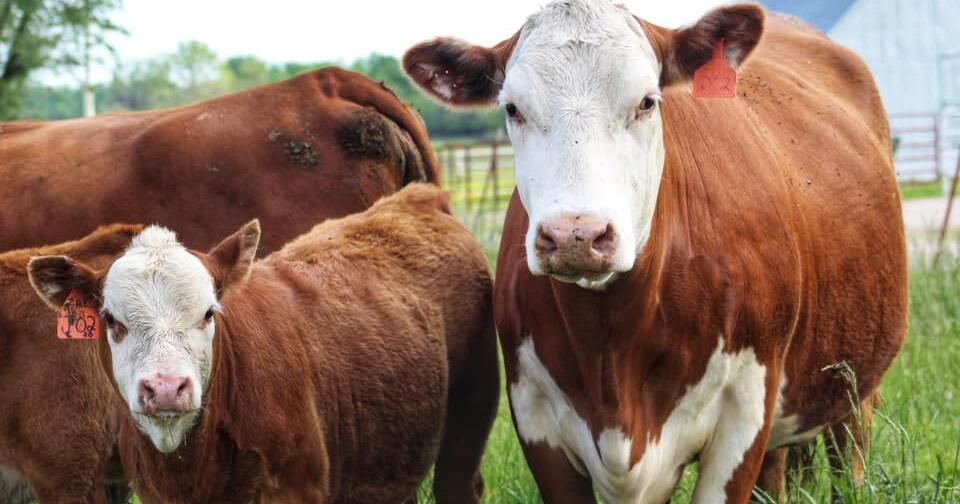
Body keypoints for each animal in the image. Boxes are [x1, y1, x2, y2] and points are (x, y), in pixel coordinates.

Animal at [28, 184, 499, 503]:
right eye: (111, 319)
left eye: (209, 312)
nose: (165, 388)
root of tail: (417, 198)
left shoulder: (297, 485)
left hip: (468, 421)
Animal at [403, 1, 907, 502]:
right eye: (512, 107)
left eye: (647, 101)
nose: (574, 235)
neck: (611, 340)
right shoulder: (536, 418)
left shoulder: (744, 415)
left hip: (851, 380)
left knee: (848, 450)